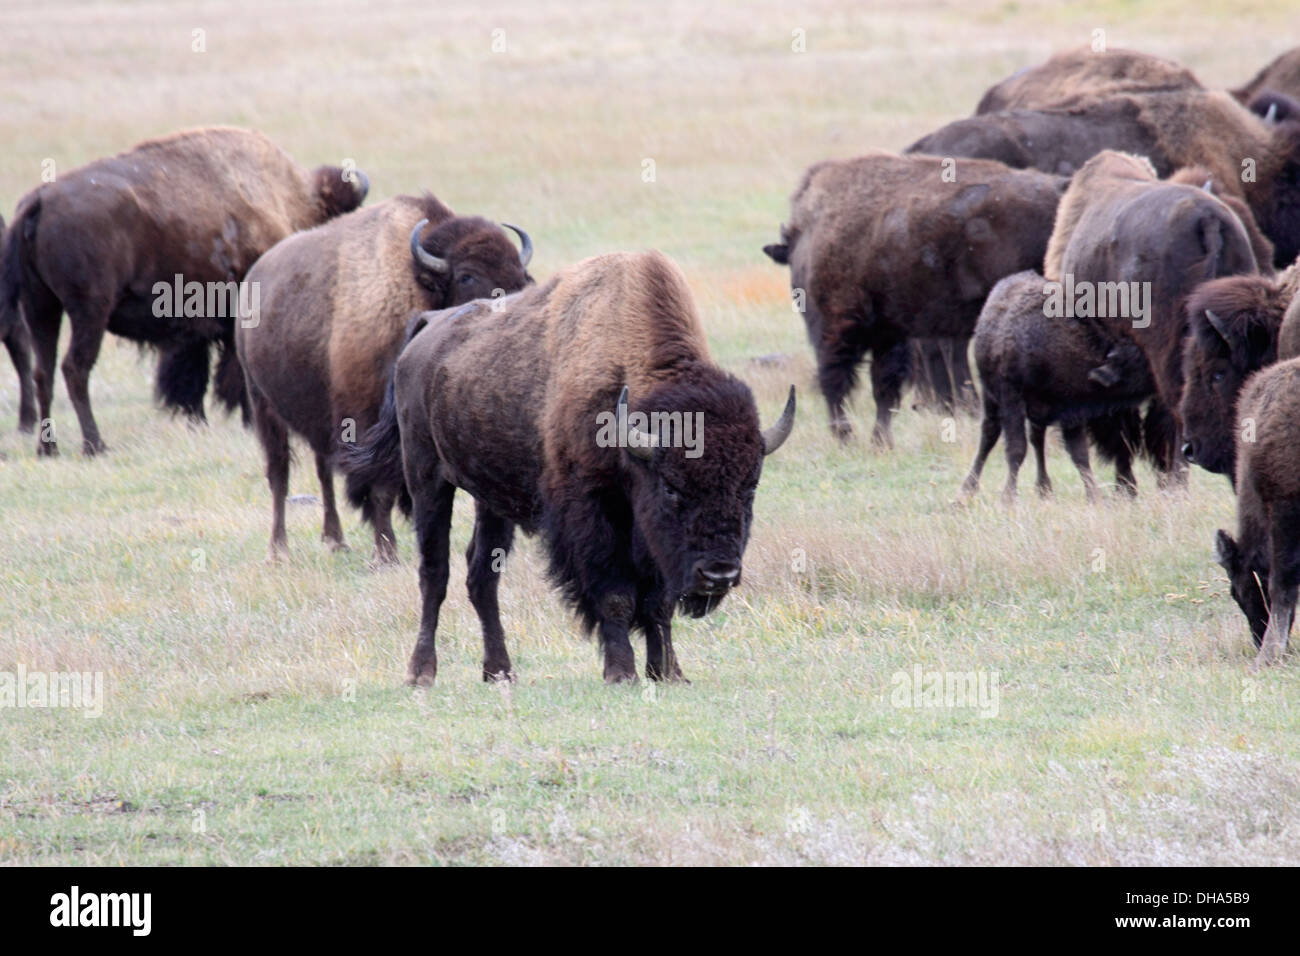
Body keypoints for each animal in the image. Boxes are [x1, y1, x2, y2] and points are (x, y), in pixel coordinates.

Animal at [0, 126, 368, 455]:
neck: (286, 201)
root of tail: (38, 202)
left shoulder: (193, 330)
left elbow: (192, 378)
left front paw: (199, 423)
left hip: (41, 308)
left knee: (43, 371)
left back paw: (48, 448)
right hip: (89, 310)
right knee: (75, 368)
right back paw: (95, 445)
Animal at [237, 194, 532, 562]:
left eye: (520, 272)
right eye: (467, 276)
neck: (418, 288)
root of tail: (253, 278)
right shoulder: (367, 427)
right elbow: (380, 491)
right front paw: (386, 554)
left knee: (323, 474)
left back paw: (335, 540)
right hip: (264, 406)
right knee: (280, 475)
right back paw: (278, 550)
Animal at [344, 250, 796, 684]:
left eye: (750, 487)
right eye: (671, 487)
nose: (719, 574)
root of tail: (426, 329)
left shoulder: (651, 539)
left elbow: (658, 602)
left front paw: (669, 672)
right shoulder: (592, 513)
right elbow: (615, 595)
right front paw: (621, 673)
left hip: (490, 499)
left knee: (481, 576)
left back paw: (500, 671)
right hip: (427, 479)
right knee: (434, 574)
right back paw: (421, 672)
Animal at [763, 150, 1066, 445]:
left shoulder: (837, 327)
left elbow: (837, 381)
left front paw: (846, 437)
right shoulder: (889, 334)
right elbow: (883, 387)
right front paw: (879, 441)